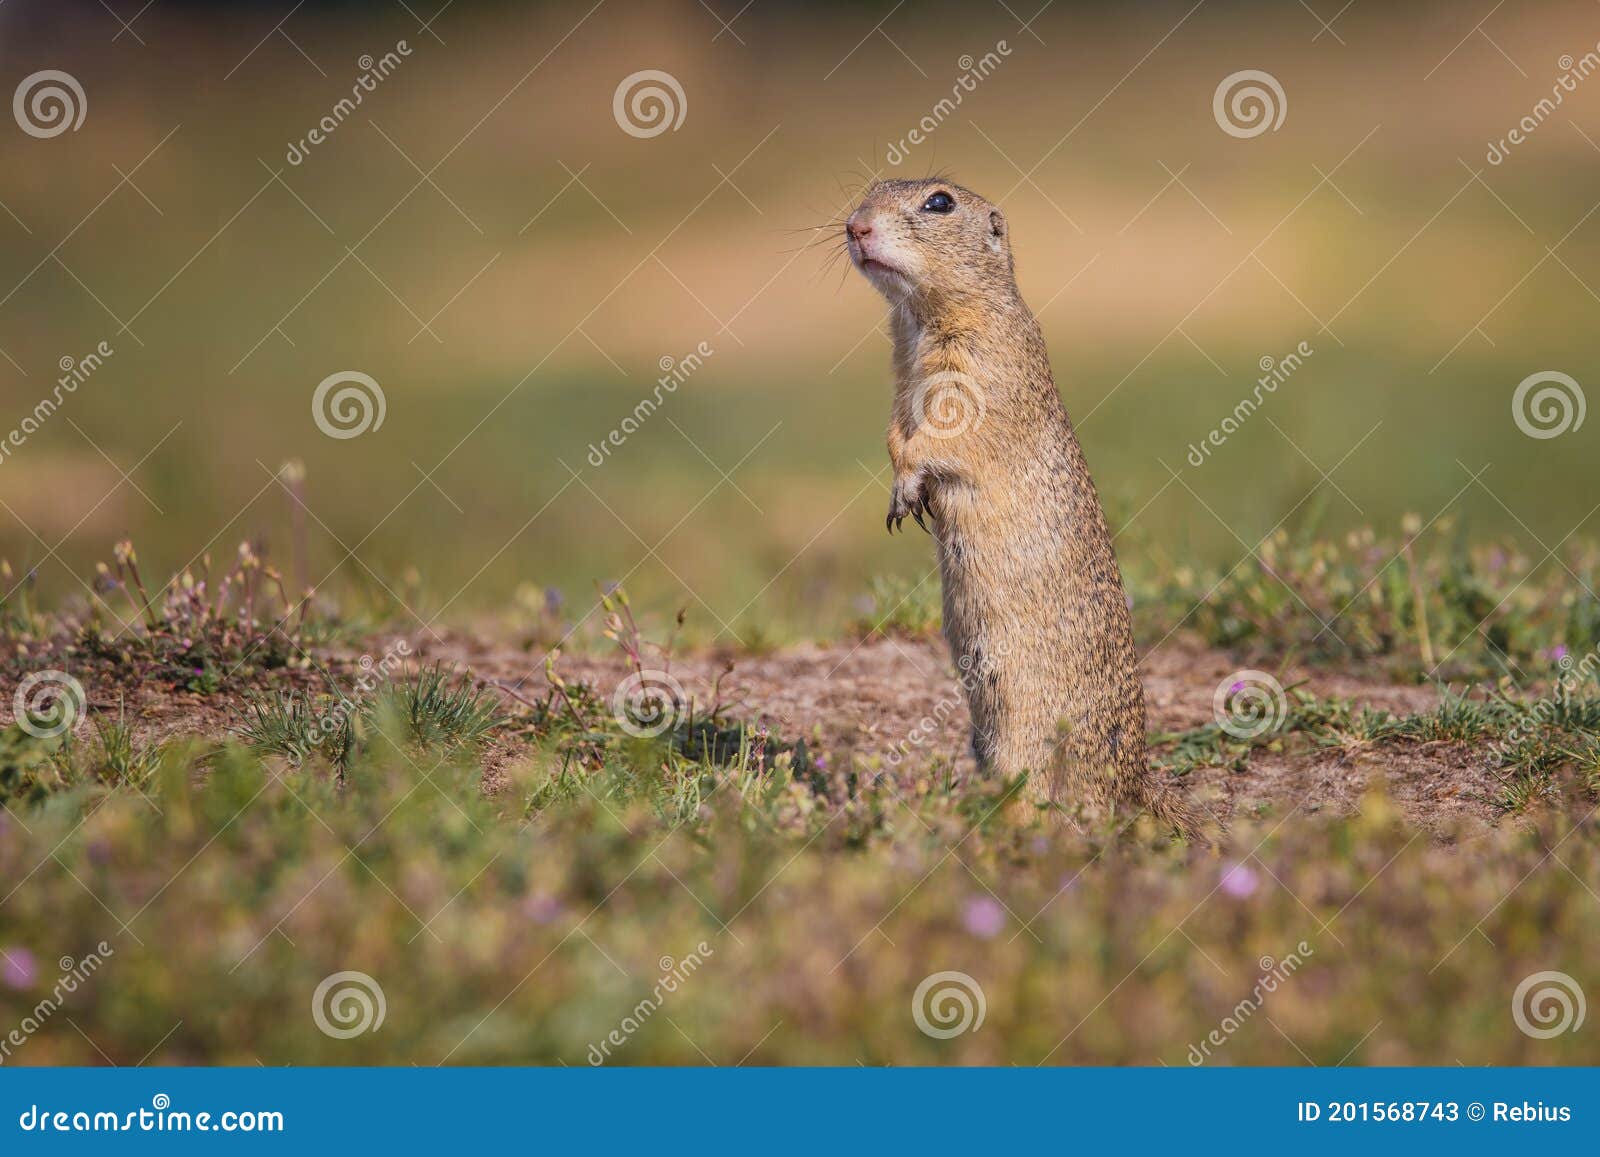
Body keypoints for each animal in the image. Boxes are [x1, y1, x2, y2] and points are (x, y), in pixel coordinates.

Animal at [845, 177, 1205, 841]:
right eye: (873, 188)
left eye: (939, 202)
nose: (855, 226)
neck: (920, 319)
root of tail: (1136, 780)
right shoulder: (901, 377)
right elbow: (894, 429)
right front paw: (900, 491)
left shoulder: (978, 375)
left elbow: (939, 437)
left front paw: (908, 485)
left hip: (1029, 736)